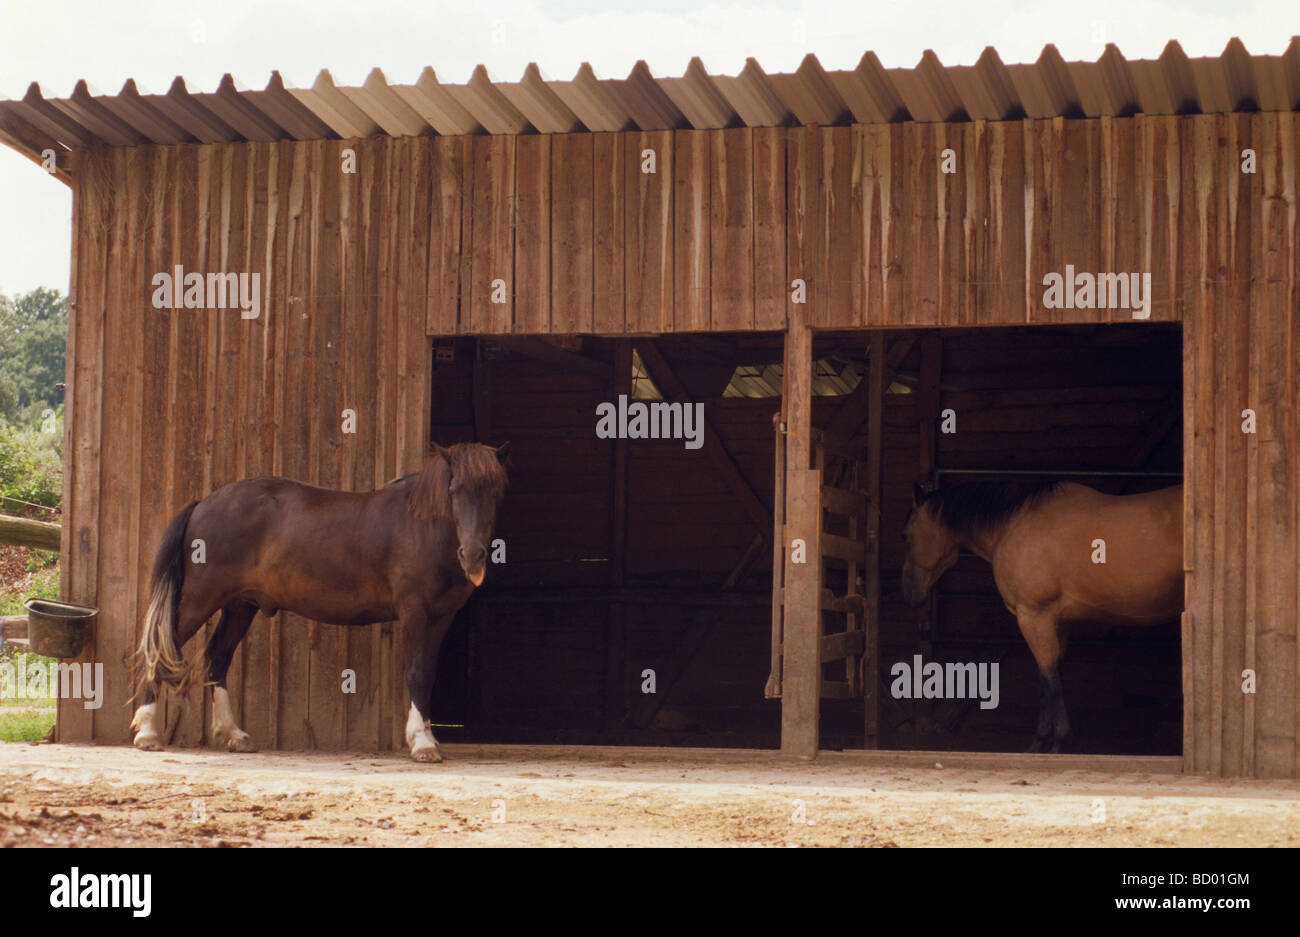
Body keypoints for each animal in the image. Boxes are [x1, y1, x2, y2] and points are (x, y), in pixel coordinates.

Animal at [130, 441, 509, 762]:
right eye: (454, 490)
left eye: (494, 493)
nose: (472, 556)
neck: (423, 526)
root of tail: (202, 504)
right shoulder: (414, 611)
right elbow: (416, 671)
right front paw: (422, 743)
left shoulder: (441, 616)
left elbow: (428, 672)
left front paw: (428, 737)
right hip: (200, 599)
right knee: (159, 648)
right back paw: (147, 732)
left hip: (239, 606)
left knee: (217, 658)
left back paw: (235, 735)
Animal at [900, 480, 1183, 752]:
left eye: (906, 537)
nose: (910, 594)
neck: (1014, 523)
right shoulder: (1057, 623)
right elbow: (1047, 680)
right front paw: (1040, 742)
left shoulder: (1034, 616)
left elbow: (1050, 681)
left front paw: (1057, 742)